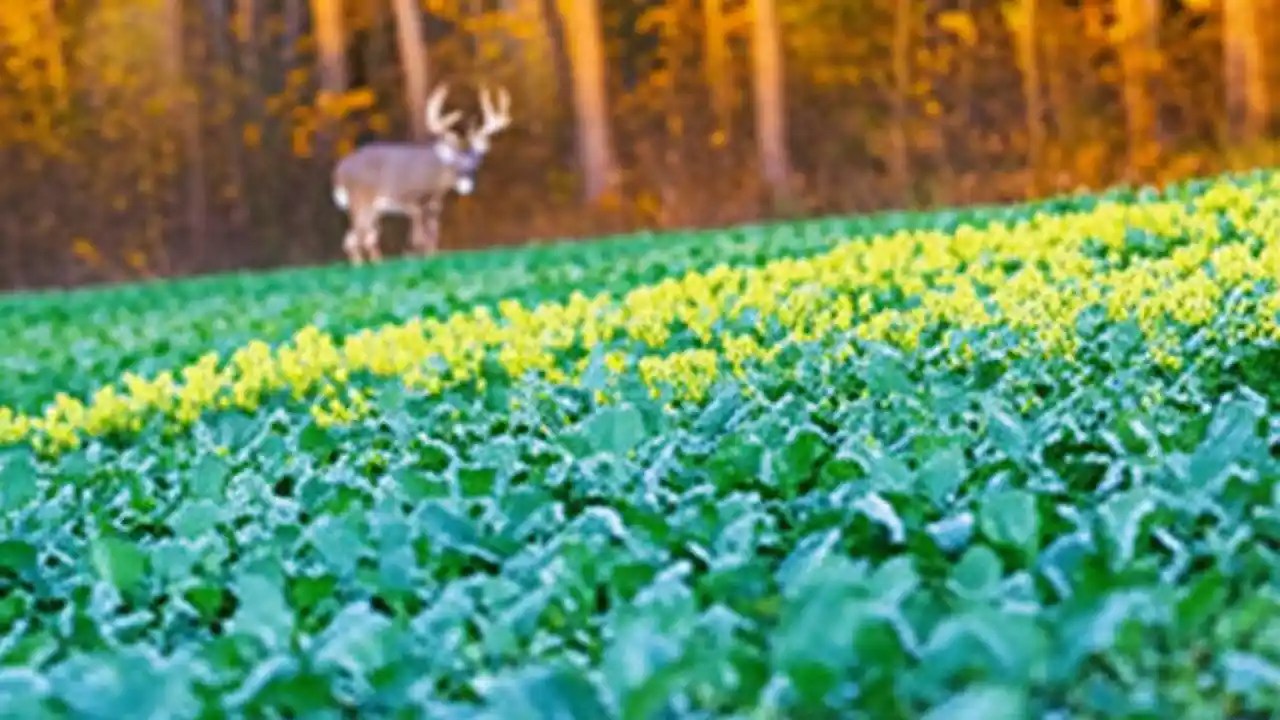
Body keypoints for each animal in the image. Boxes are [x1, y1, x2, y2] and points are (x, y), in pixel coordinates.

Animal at [330, 83, 512, 264]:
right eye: (455, 162)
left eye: (476, 162)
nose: (466, 185)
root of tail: (339, 172)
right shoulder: (417, 202)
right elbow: (421, 239)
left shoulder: (434, 206)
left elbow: (432, 237)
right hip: (361, 200)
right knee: (354, 240)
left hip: (373, 208)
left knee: (363, 238)